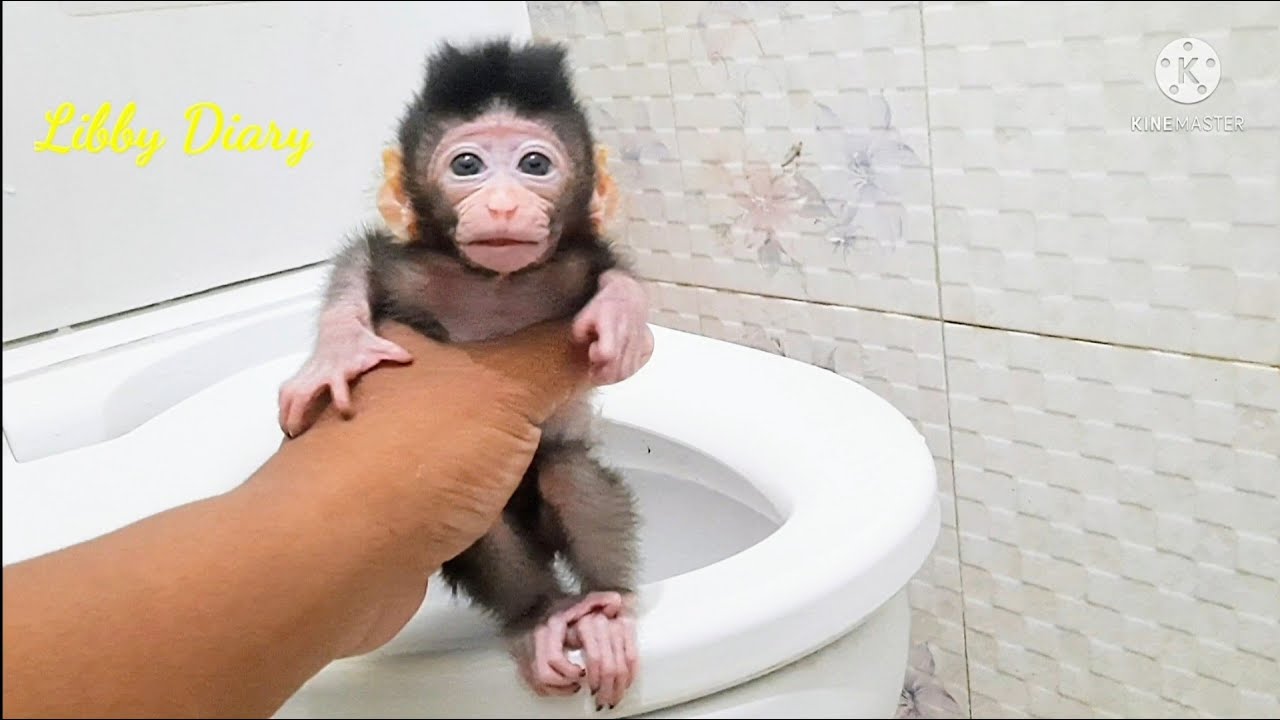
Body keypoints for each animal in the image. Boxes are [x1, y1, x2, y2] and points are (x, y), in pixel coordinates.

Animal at [275, 38, 650, 709]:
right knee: (486, 531)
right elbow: (360, 265)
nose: (501, 203)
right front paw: (338, 351)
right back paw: (541, 616)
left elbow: (614, 272)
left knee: (568, 472)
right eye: (468, 165)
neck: (494, 285)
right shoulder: (416, 272)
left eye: (534, 163)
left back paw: (607, 611)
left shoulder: (572, 266)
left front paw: (622, 315)